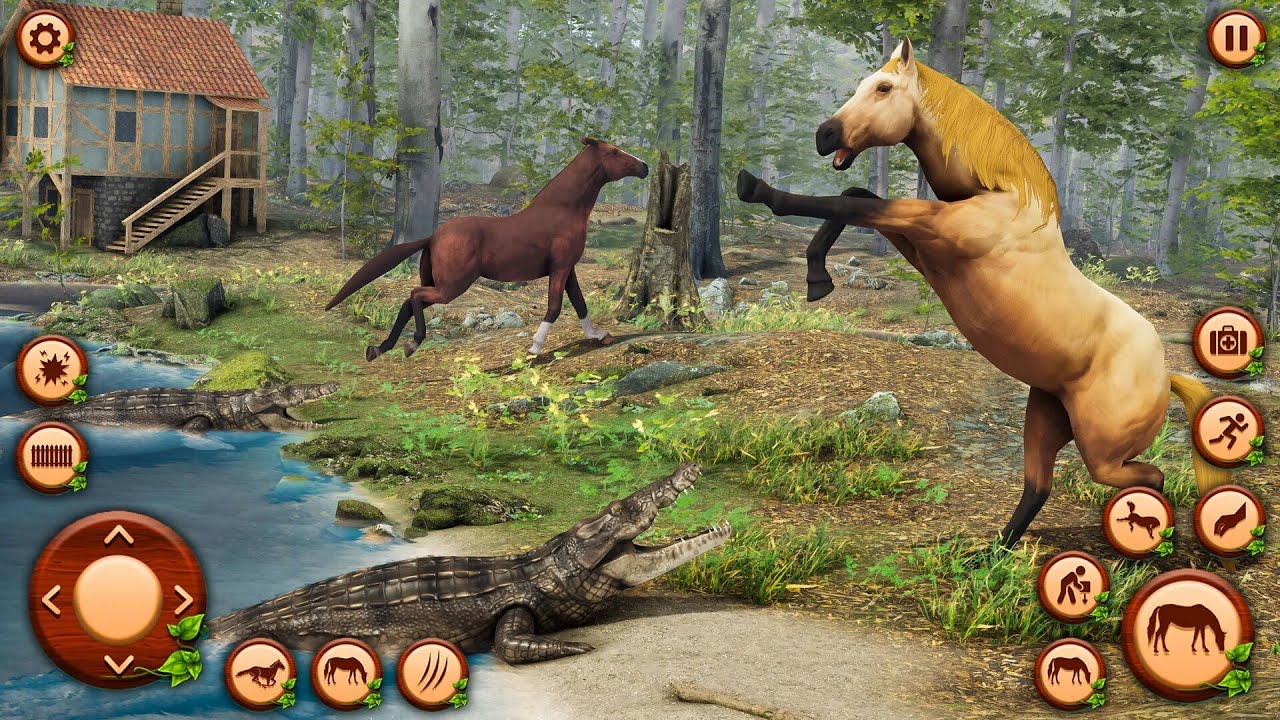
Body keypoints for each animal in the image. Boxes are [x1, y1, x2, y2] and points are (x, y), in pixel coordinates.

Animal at [325, 138, 649, 359]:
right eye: (614, 152)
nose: (644, 167)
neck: (561, 211)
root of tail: (433, 237)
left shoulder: (567, 269)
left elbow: (579, 303)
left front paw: (599, 335)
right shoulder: (560, 267)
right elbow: (555, 307)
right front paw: (534, 348)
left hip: (442, 283)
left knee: (408, 301)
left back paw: (380, 349)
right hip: (453, 286)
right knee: (414, 295)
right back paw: (412, 342)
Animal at [734, 36, 1228, 547]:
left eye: (884, 88)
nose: (825, 135)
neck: (1005, 197)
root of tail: (1165, 376)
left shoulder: (933, 229)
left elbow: (849, 201)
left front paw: (757, 190)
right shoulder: (927, 249)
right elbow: (856, 198)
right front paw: (818, 279)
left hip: (1101, 452)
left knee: (1150, 477)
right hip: (1046, 418)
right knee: (1038, 487)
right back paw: (988, 553)